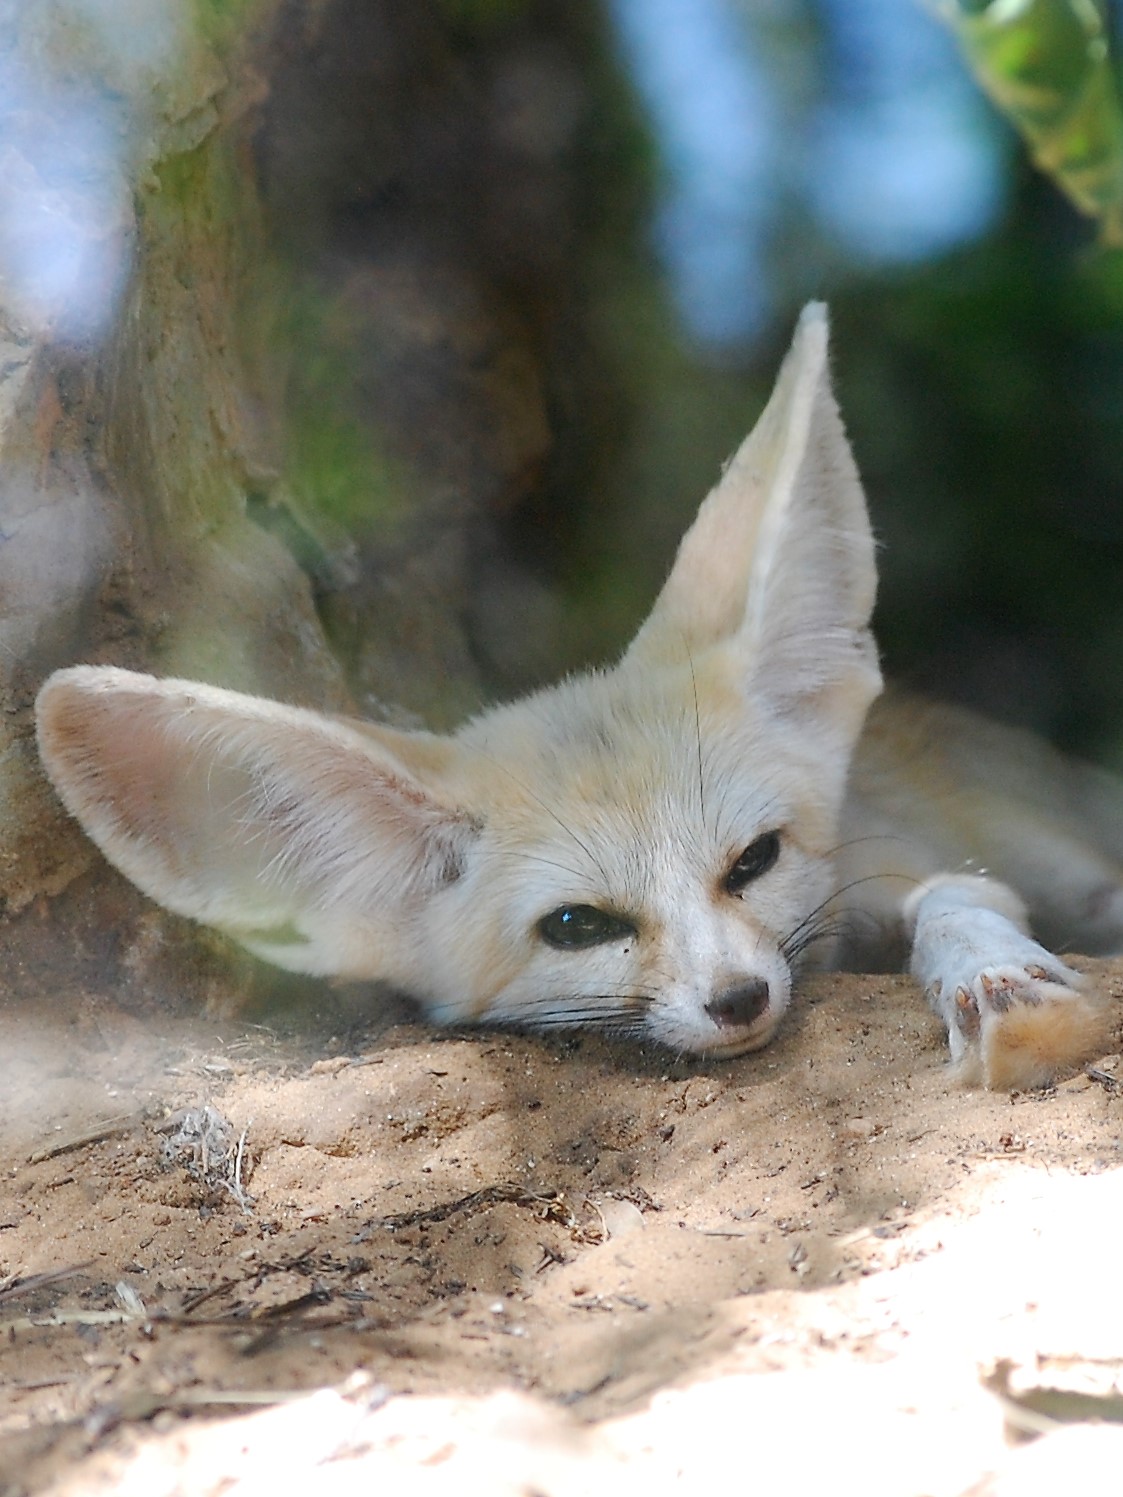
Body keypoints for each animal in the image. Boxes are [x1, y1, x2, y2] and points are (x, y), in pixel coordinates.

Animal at [35, 304, 1115, 1088]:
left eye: (753, 861)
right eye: (577, 928)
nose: (737, 999)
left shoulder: (901, 868)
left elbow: (956, 895)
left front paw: (994, 980)